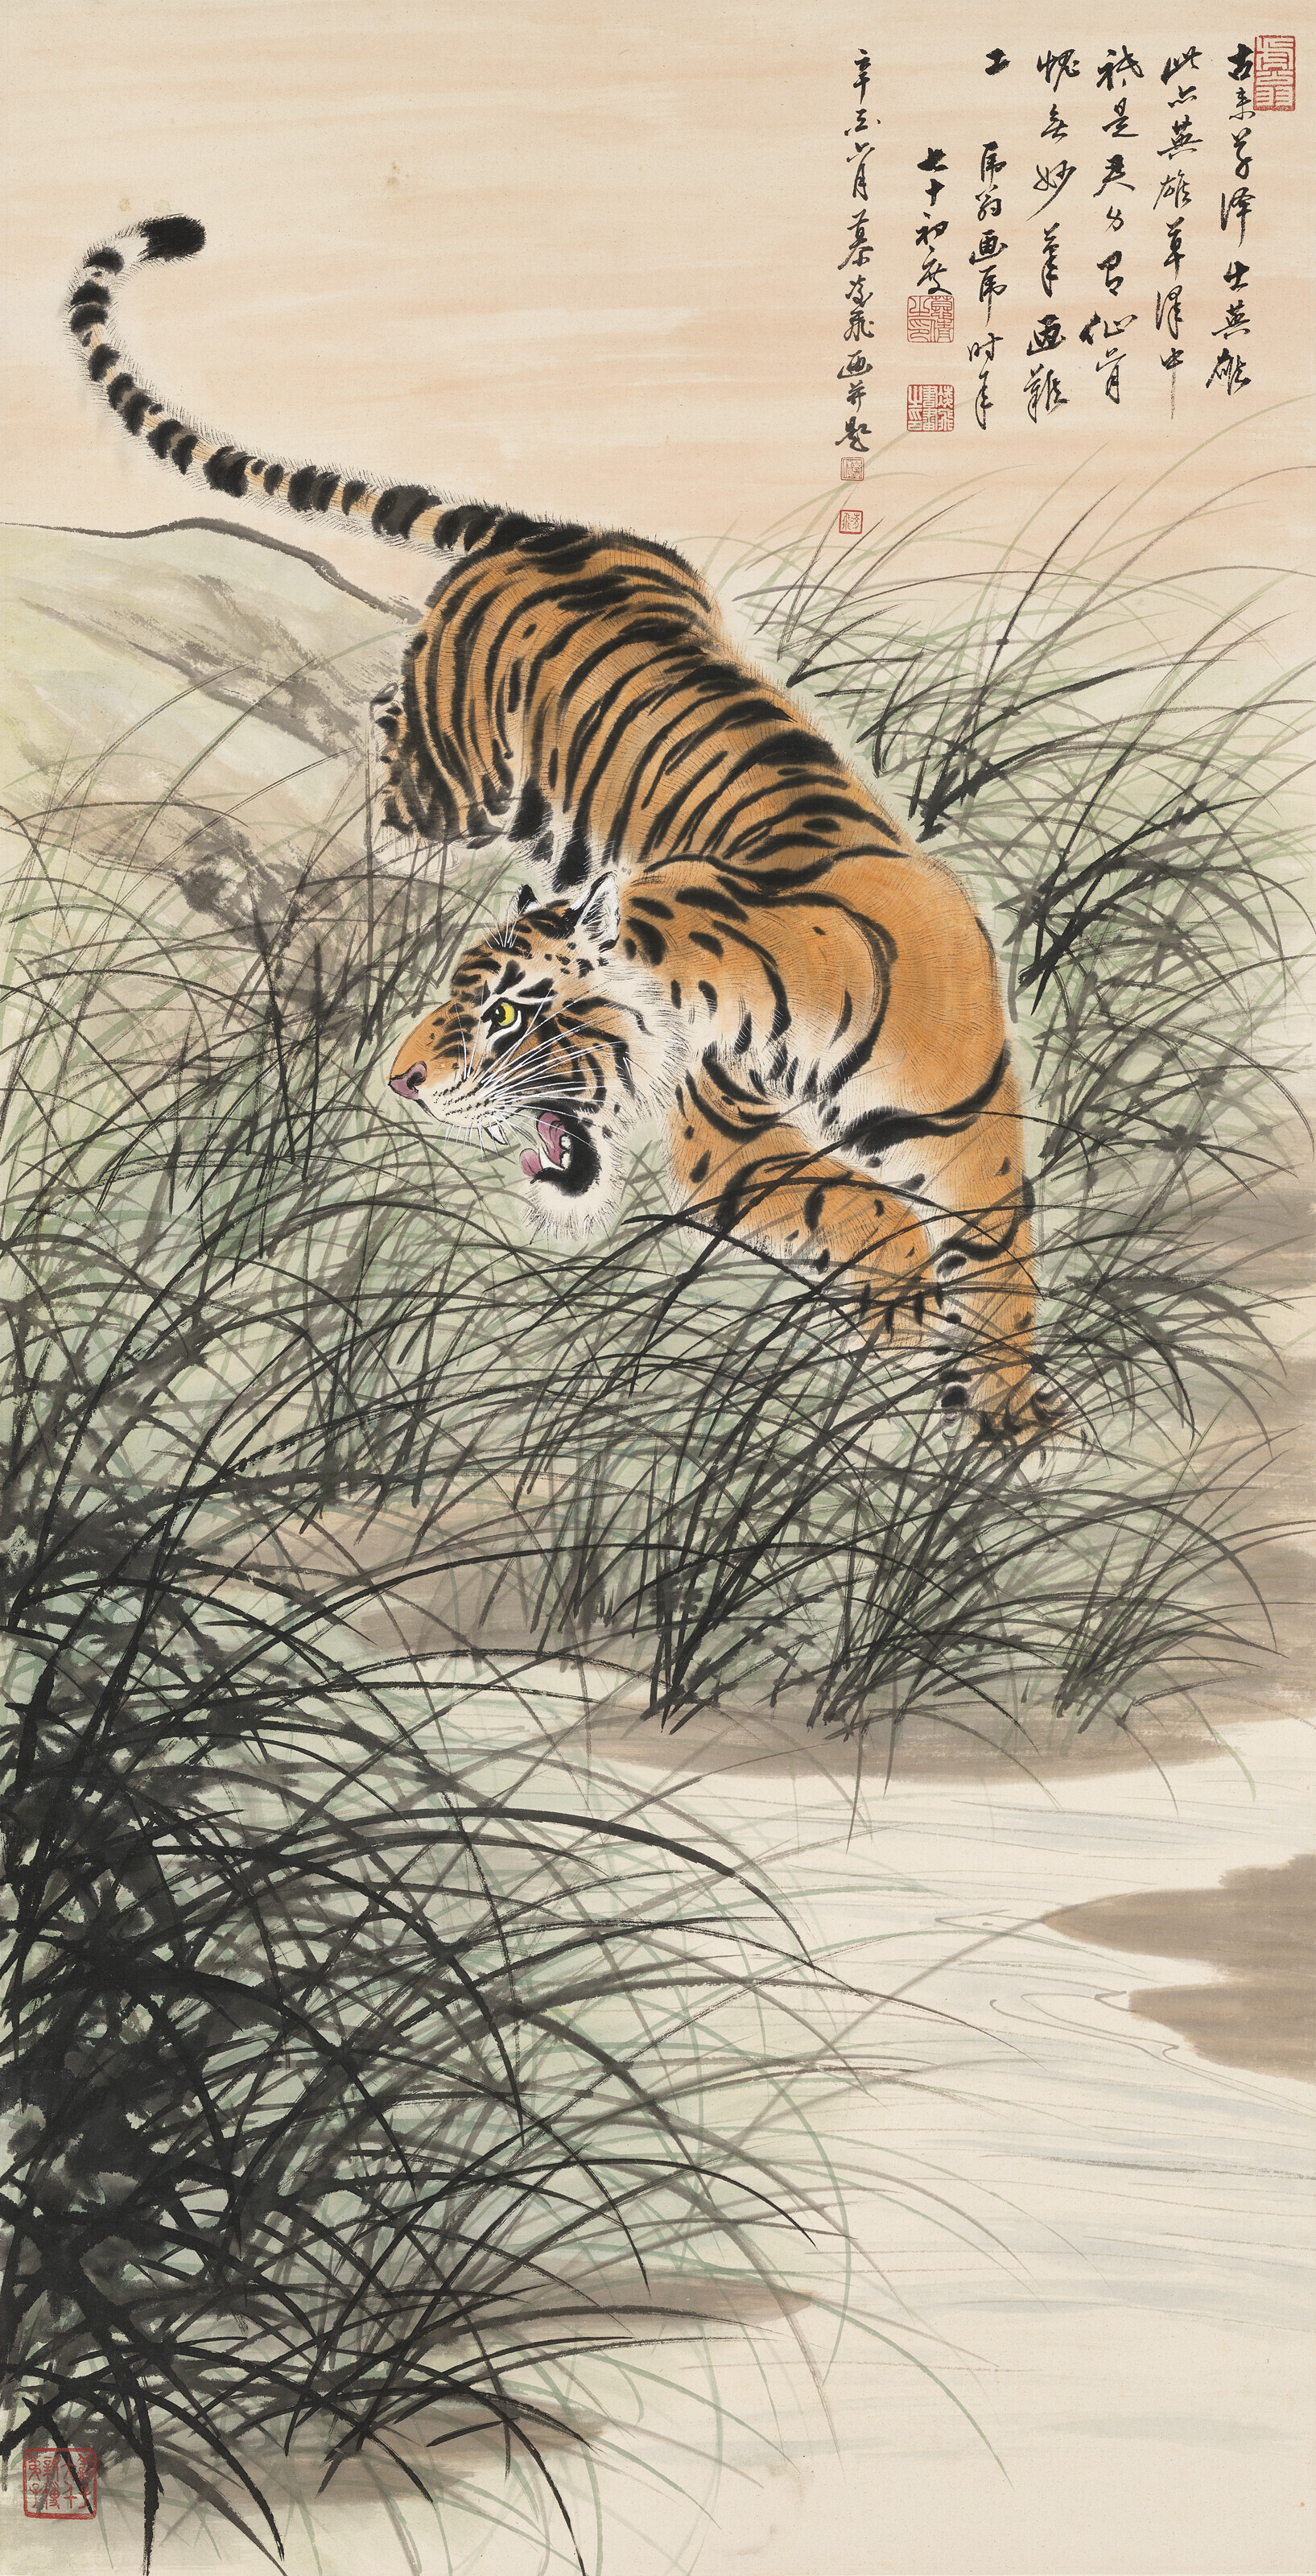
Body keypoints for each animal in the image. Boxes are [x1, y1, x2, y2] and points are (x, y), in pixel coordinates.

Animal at [68, 214, 1060, 1443]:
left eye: (503, 1014)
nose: (400, 1082)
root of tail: (547, 531)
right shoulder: (733, 1140)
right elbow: (867, 1211)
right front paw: (903, 1312)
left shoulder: (974, 1134)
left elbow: (999, 1265)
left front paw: (1007, 1415)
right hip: (464, 782)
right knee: (392, 740)